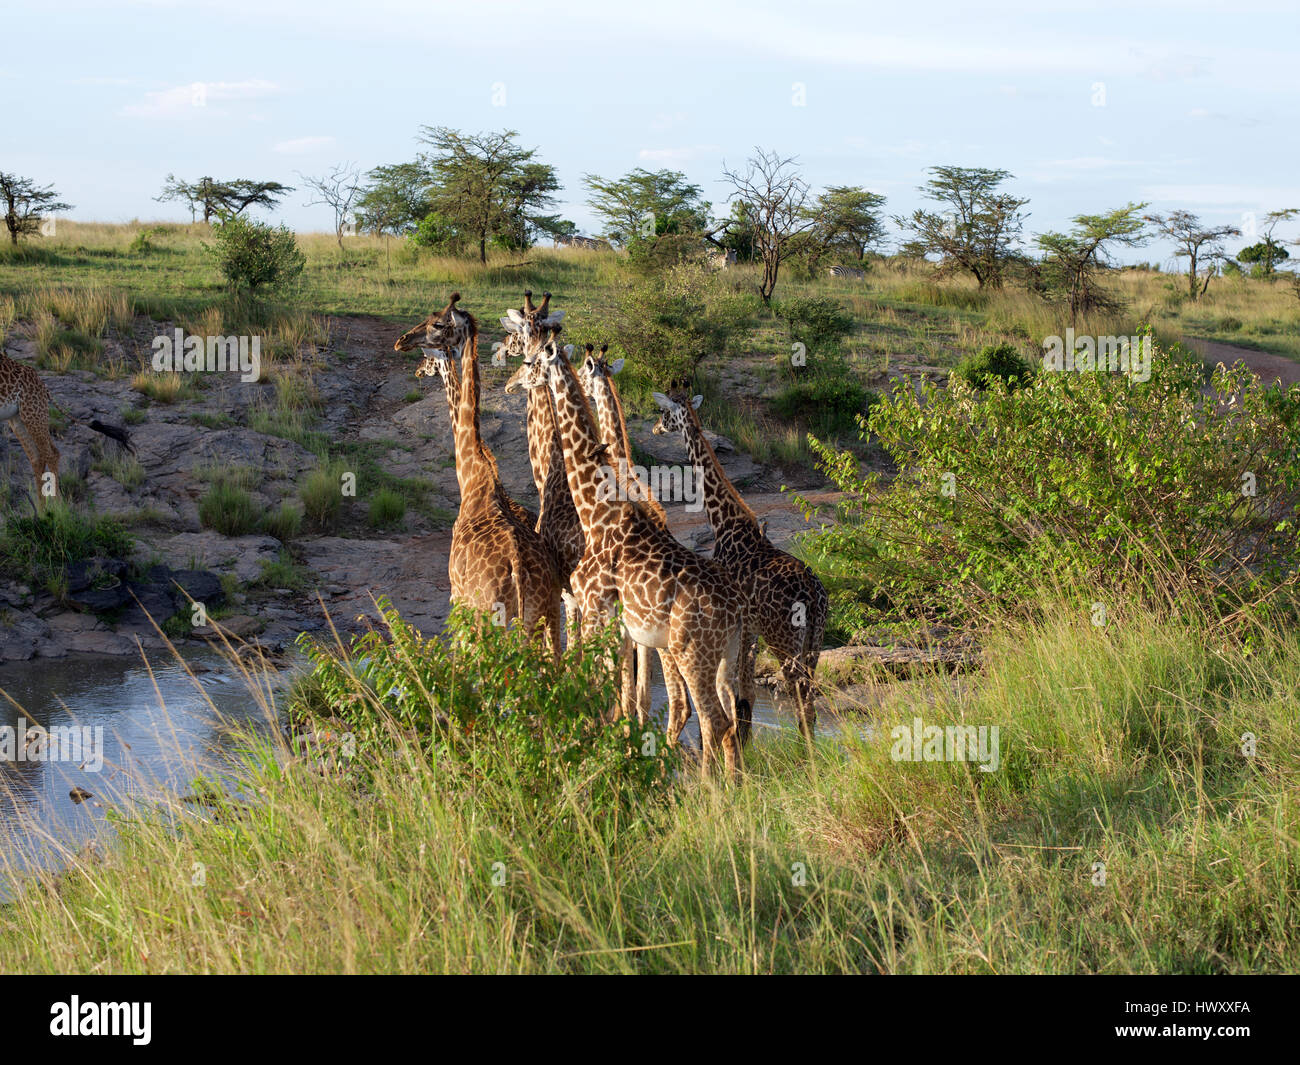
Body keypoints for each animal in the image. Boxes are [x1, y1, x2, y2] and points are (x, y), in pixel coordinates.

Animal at [393, 295, 562, 655]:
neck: (473, 476)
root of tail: (519, 574)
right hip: (544, 616)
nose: (402, 340)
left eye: (437, 324)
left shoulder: (456, 596)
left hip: (488, 619)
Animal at [652, 389, 828, 741]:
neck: (723, 522)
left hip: (785, 640)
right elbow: (746, 697)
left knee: (802, 701)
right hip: (814, 642)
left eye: (663, 414)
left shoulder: (742, 628)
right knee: (810, 702)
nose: (655, 428)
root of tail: (813, 596)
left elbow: (737, 695)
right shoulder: (750, 630)